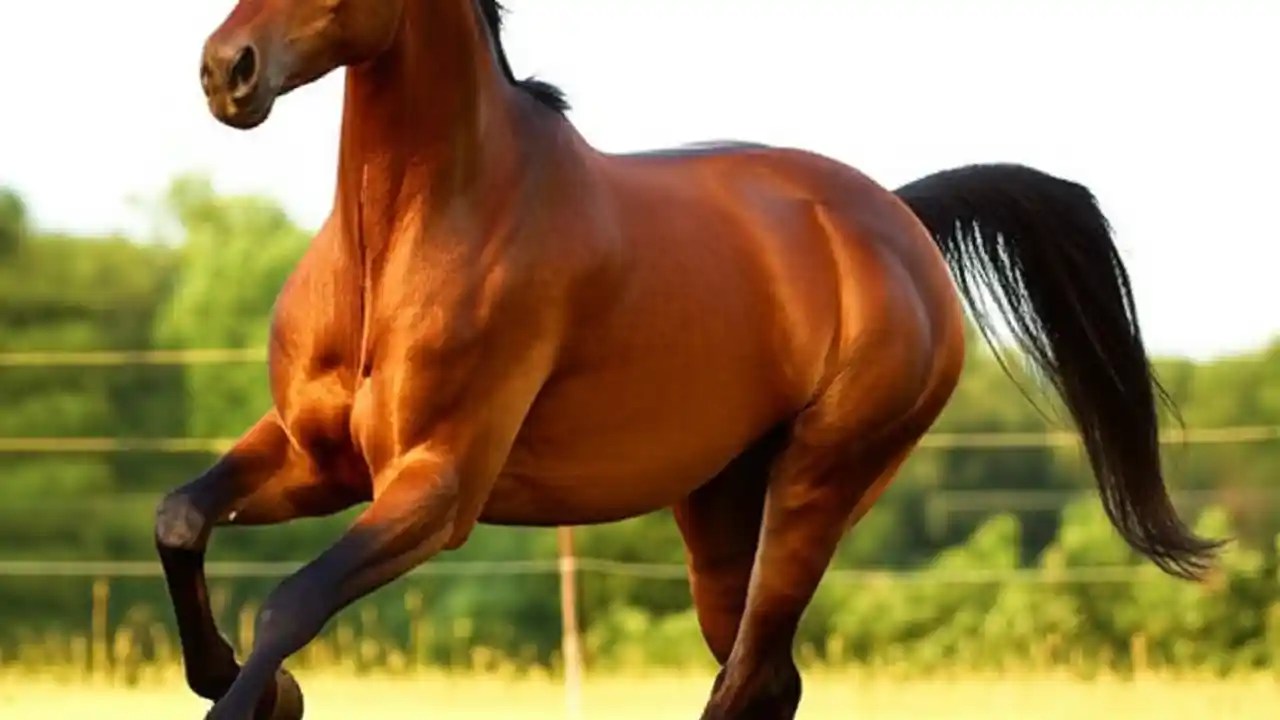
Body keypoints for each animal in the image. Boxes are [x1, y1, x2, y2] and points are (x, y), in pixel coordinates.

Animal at [156, 1, 1221, 718]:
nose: (225, 71)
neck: (404, 242)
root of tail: (899, 216)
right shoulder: (315, 456)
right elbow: (181, 519)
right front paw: (238, 680)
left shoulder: (436, 489)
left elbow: (293, 599)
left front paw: (263, 694)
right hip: (717, 511)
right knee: (761, 676)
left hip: (817, 489)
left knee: (752, 674)